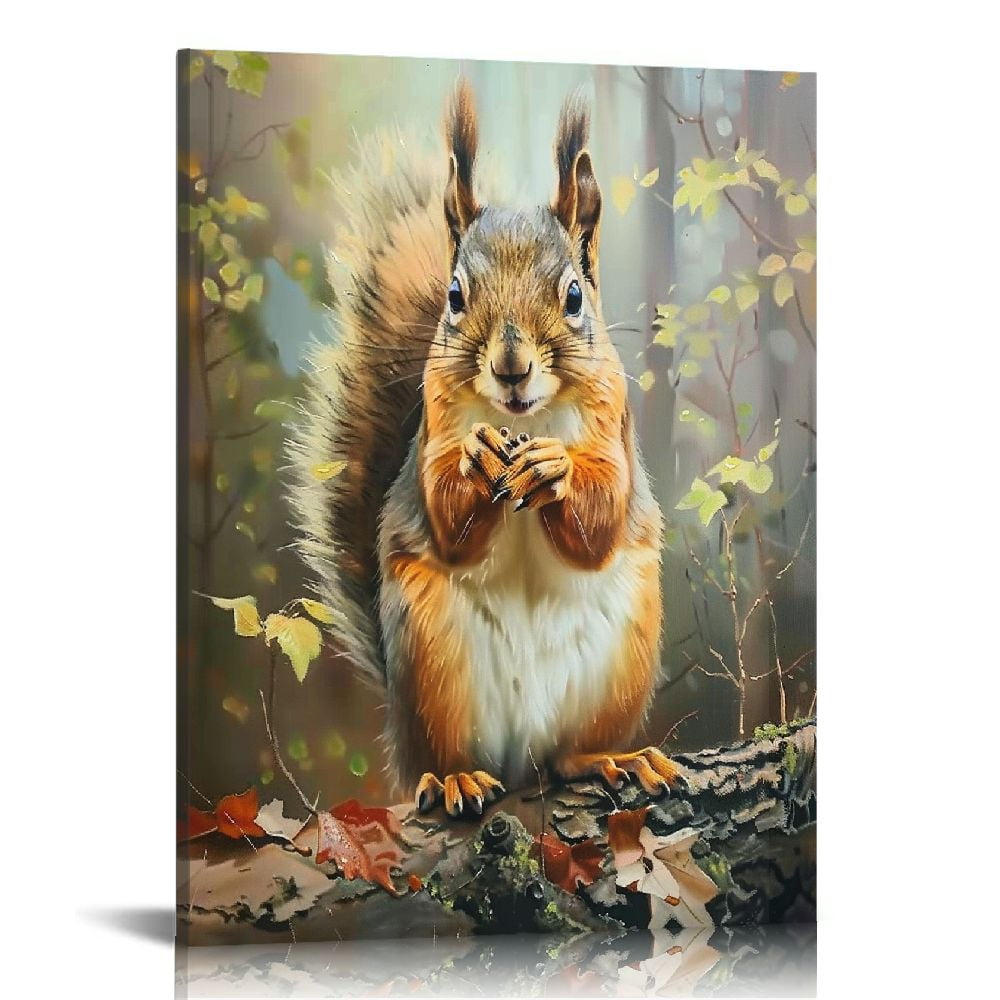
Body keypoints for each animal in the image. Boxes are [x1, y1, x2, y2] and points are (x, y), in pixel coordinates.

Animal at [289, 81, 681, 817]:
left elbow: (602, 518)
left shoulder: (613, 426)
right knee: (441, 760)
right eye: (454, 295)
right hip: (434, 662)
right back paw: (455, 779)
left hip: (619, 666)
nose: (510, 367)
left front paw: (556, 467)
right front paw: (477, 458)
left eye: (575, 294)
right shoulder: (434, 426)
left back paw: (609, 758)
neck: (524, 419)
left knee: (566, 756)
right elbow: (448, 523)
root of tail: (520, 758)